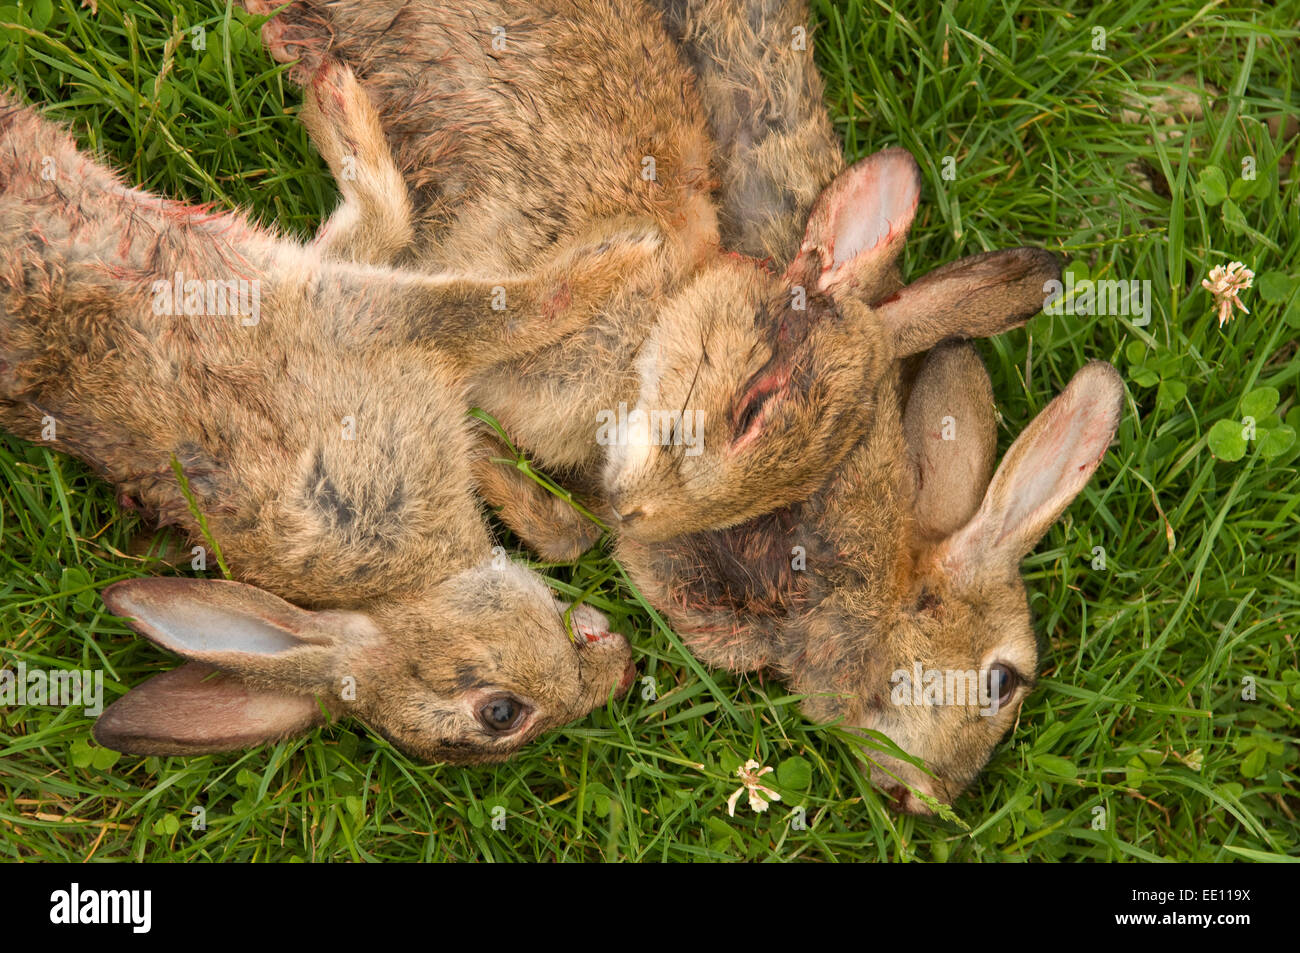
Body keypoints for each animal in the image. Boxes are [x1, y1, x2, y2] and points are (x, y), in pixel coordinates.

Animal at [0, 93, 643, 761]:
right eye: (501, 714)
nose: (624, 672)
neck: (408, 583)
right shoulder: (370, 322)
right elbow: (513, 308)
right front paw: (624, 254)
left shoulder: (332, 289)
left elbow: (382, 220)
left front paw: (337, 98)